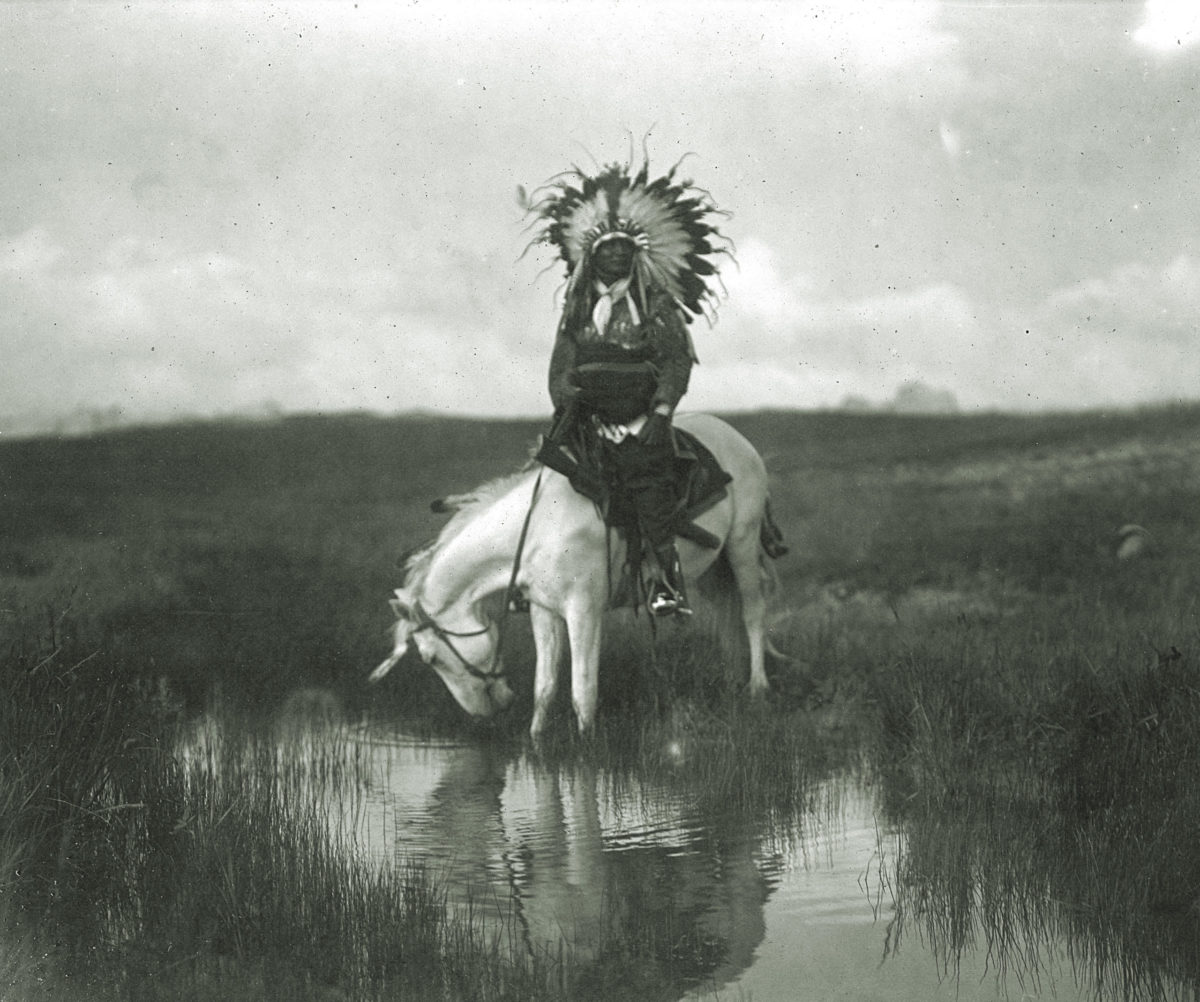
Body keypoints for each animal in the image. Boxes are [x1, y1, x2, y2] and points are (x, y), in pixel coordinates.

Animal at [368, 412, 781, 738]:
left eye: (431, 659)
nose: (483, 714)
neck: (539, 528)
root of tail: (734, 435)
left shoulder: (583, 613)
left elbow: (583, 691)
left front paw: (586, 754)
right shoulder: (544, 611)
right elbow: (545, 686)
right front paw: (535, 745)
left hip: (741, 545)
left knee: (752, 613)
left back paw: (758, 688)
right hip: (710, 568)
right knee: (727, 618)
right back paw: (734, 680)